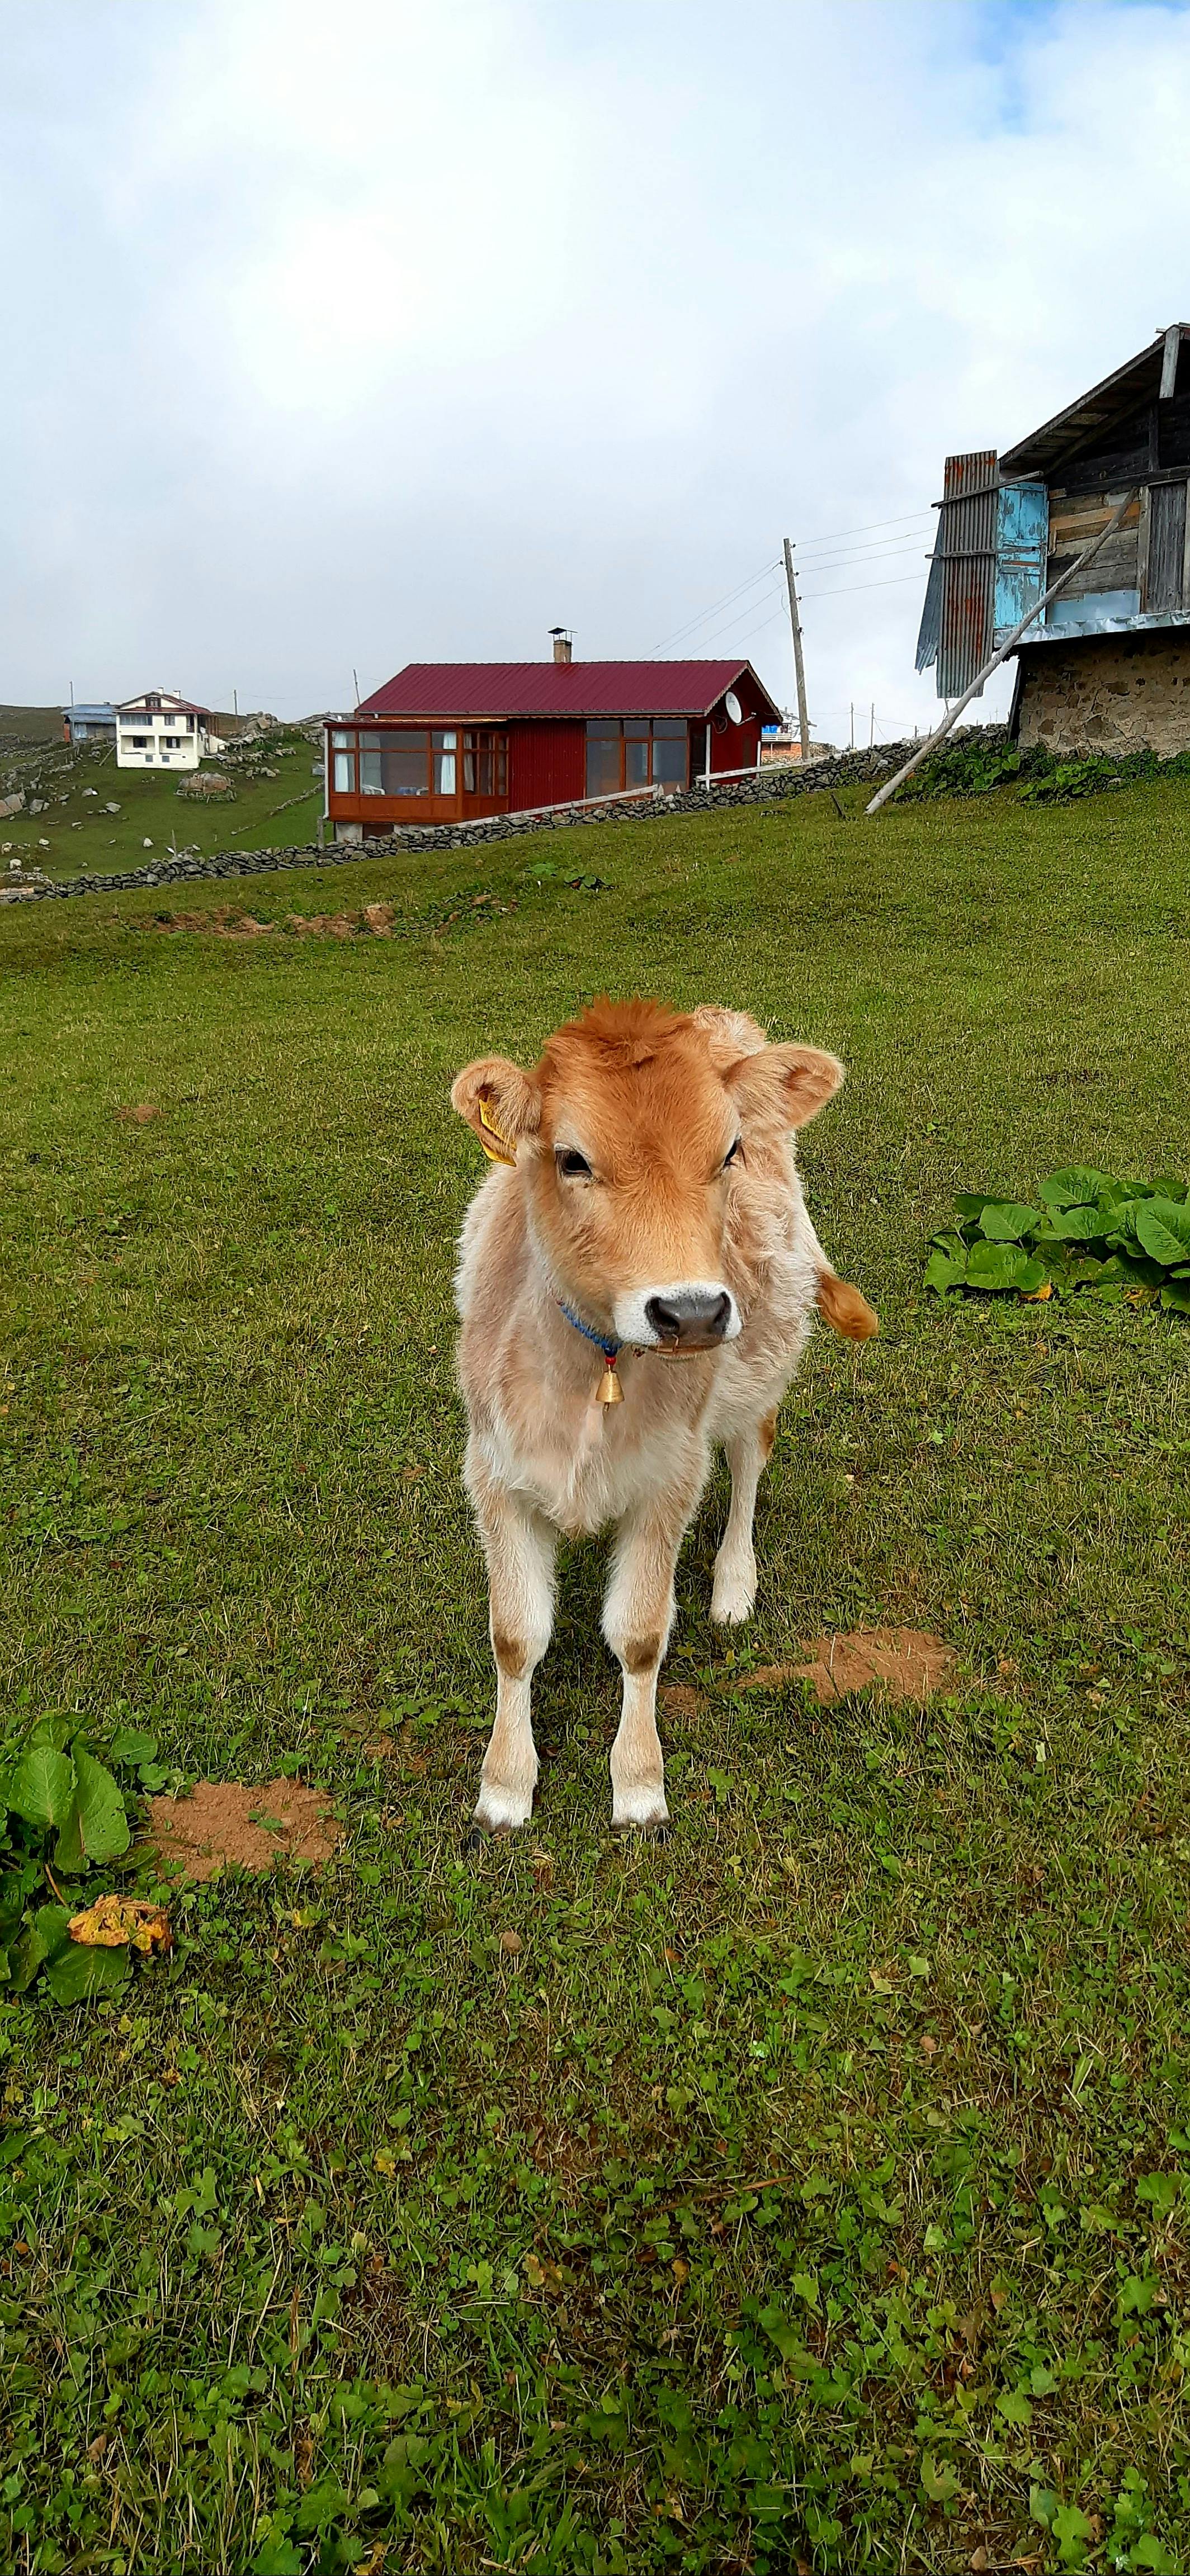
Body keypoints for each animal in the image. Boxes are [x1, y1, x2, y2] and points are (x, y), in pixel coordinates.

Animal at [451, 998, 875, 1835]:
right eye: (571, 1159)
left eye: (730, 1151)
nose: (691, 1311)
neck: (593, 1384)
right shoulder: (495, 1469)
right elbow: (515, 1635)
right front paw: (505, 1787)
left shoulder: (670, 1475)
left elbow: (641, 1635)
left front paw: (639, 1784)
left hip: (761, 1370)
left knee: (749, 1458)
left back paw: (733, 1585)